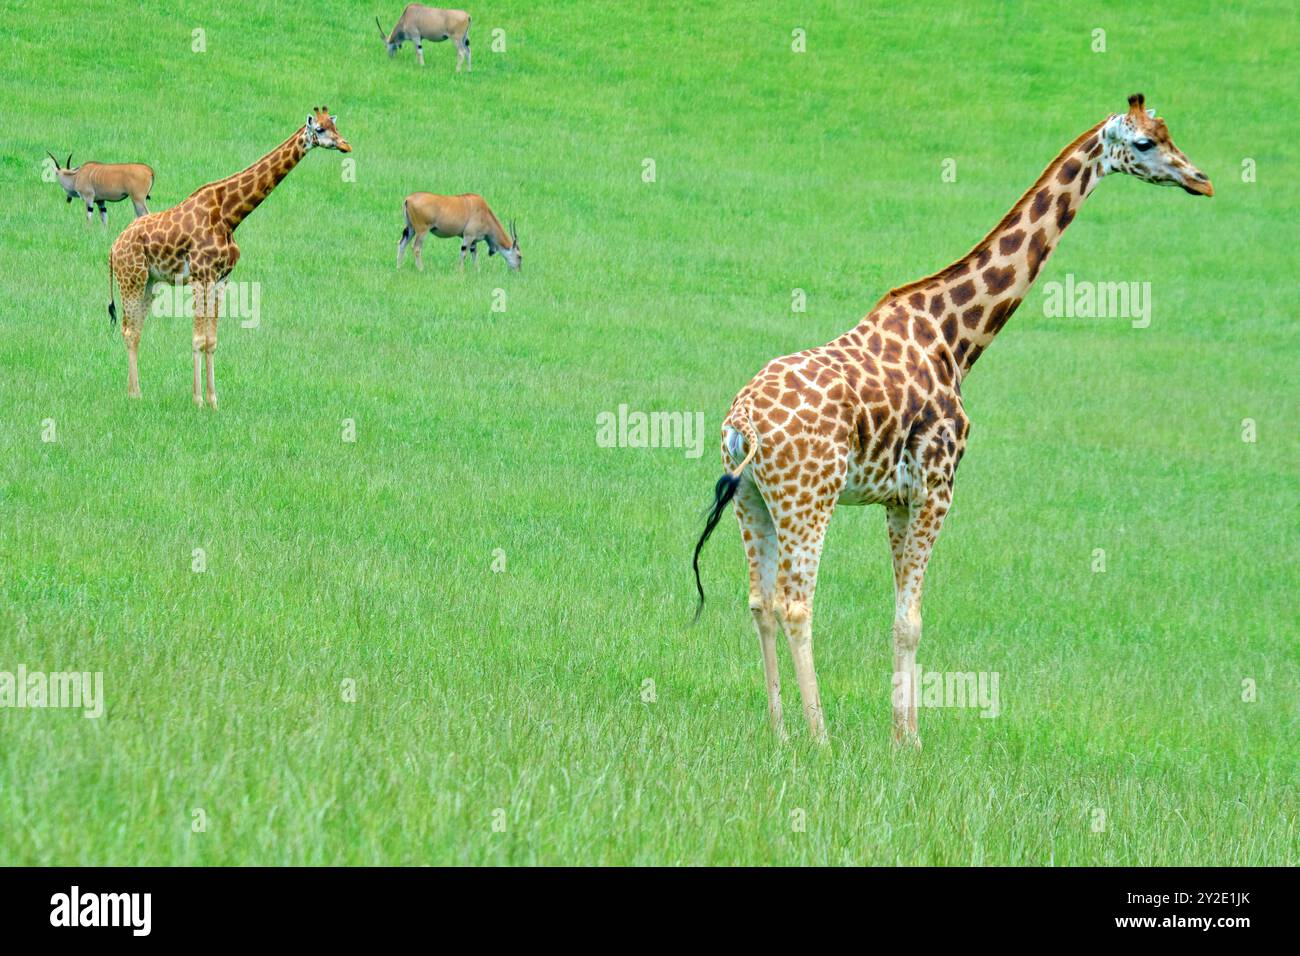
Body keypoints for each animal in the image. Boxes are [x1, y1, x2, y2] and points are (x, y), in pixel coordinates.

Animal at [107, 108, 352, 408]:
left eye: (335, 127)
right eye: (319, 129)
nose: (345, 146)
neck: (230, 215)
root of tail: (113, 249)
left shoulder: (222, 278)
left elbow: (211, 340)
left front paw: (213, 402)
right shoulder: (201, 275)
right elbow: (198, 338)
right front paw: (198, 400)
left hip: (150, 282)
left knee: (136, 328)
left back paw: (136, 393)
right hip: (131, 277)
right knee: (129, 329)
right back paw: (134, 395)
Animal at [692, 94, 1213, 746]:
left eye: (1169, 132)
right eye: (1145, 143)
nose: (1202, 179)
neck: (956, 337)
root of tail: (741, 425)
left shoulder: (897, 497)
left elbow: (898, 615)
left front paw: (899, 735)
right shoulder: (939, 485)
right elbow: (912, 619)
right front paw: (912, 742)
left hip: (753, 499)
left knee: (760, 601)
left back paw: (781, 732)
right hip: (807, 497)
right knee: (794, 602)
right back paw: (820, 738)